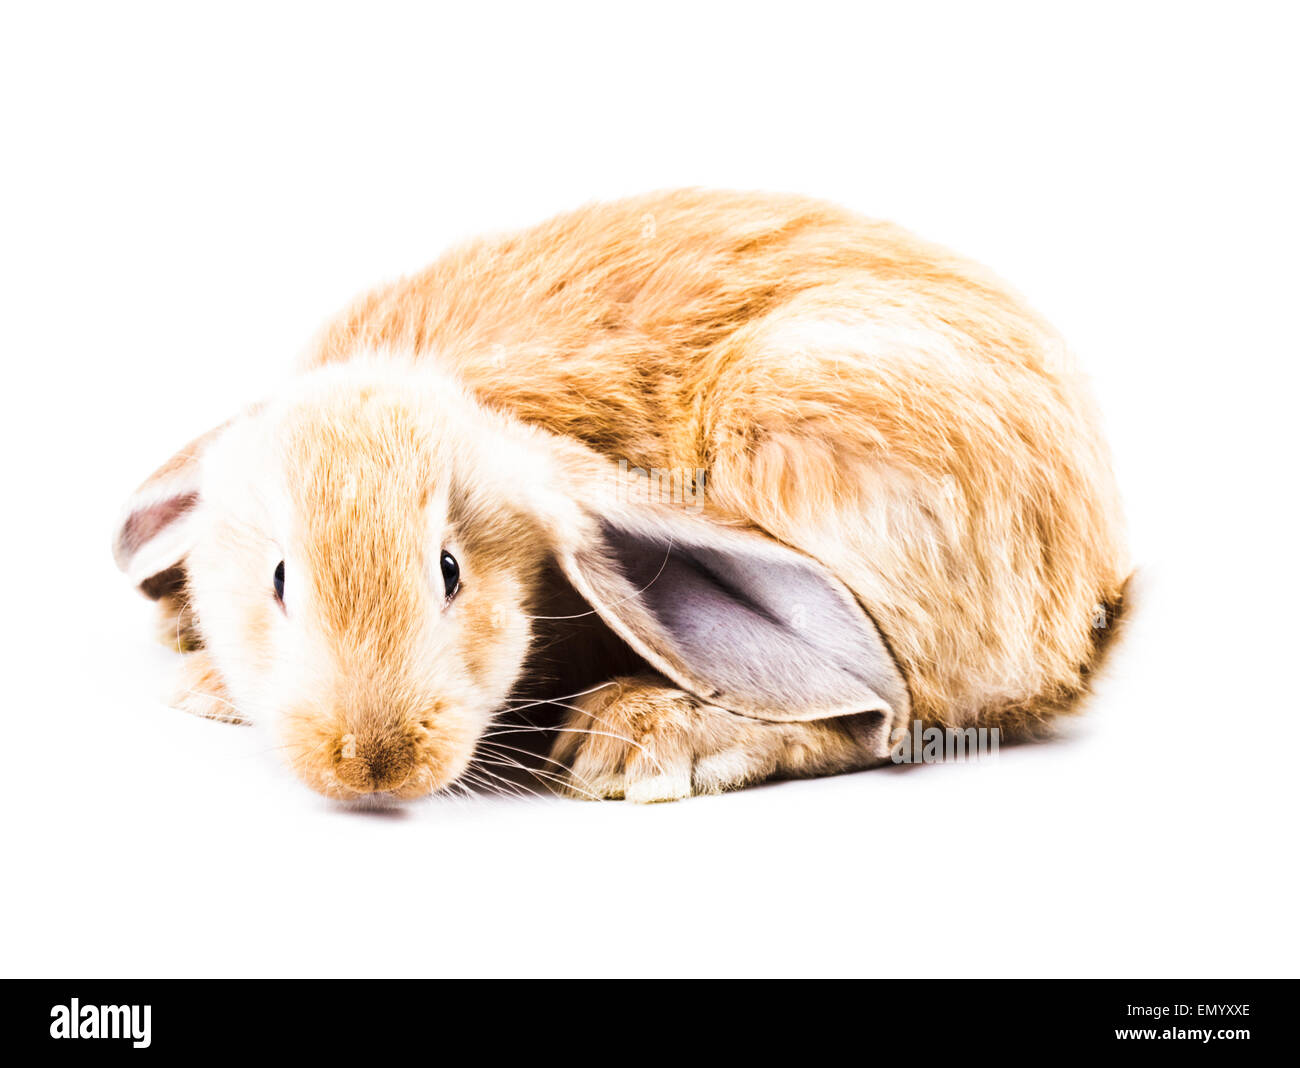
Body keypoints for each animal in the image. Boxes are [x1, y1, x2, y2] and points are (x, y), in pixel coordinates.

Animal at [113, 189, 1129, 803]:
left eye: (449, 573)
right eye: (281, 579)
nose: (373, 765)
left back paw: (633, 741)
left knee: (892, 713)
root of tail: (1093, 599)